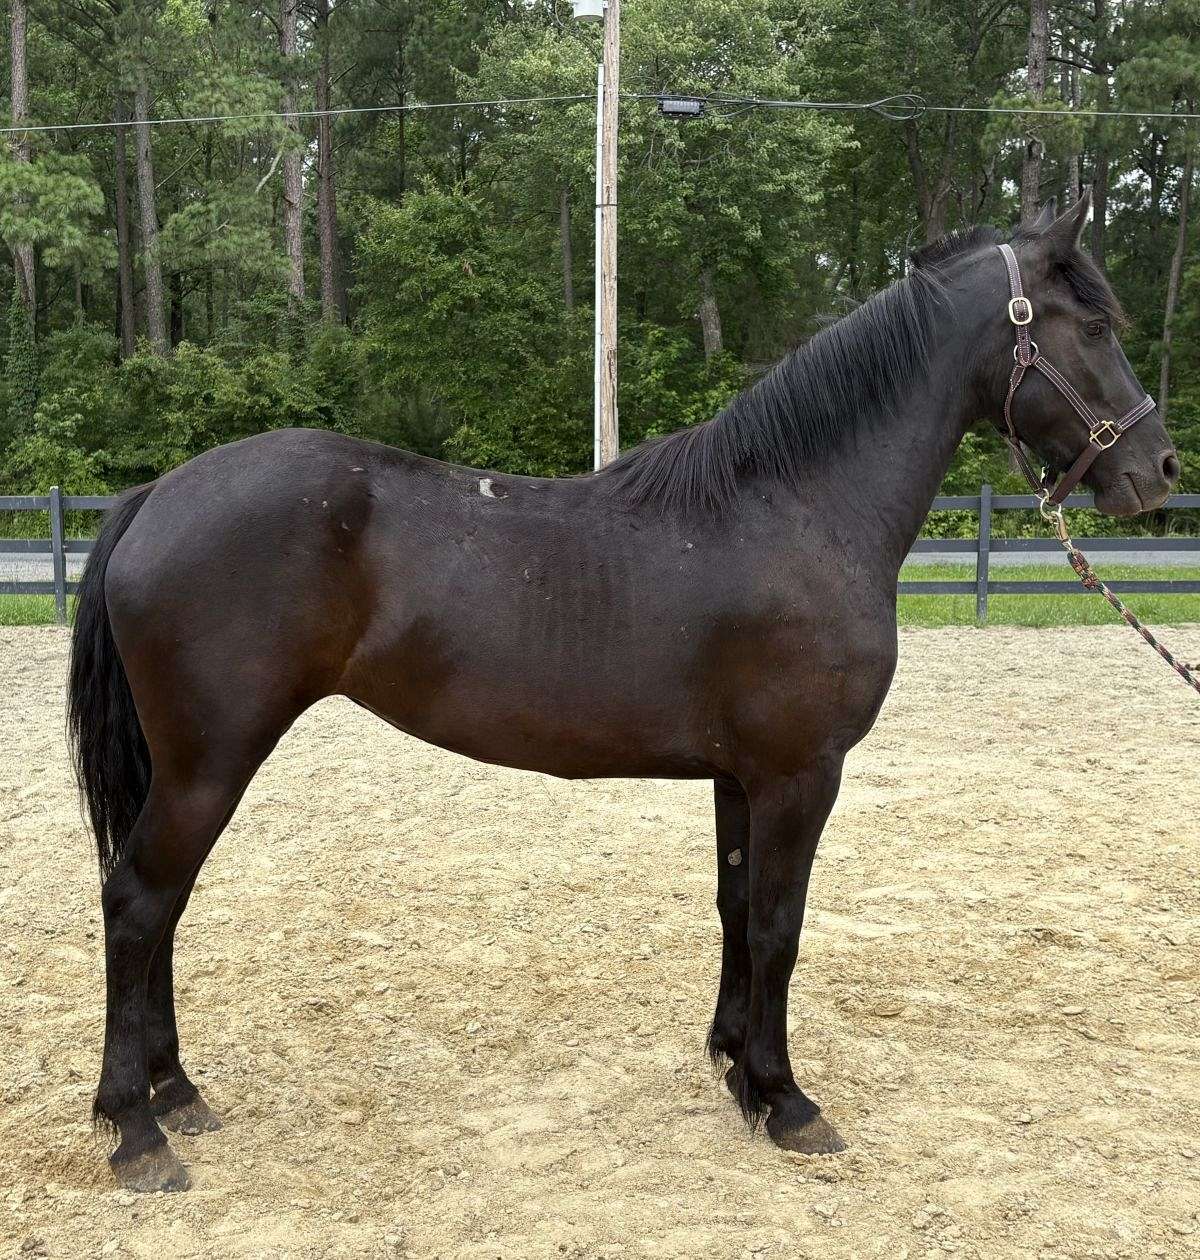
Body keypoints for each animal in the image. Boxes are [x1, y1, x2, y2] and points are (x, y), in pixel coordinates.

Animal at [67, 194, 1179, 1192]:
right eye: (1092, 327)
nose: (1158, 469)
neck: (797, 507)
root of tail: (156, 496)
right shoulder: (800, 775)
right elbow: (779, 927)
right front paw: (787, 1100)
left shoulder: (741, 777)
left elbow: (736, 909)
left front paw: (734, 1067)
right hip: (211, 762)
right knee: (138, 902)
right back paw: (137, 1131)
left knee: (161, 908)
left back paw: (176, 1095)